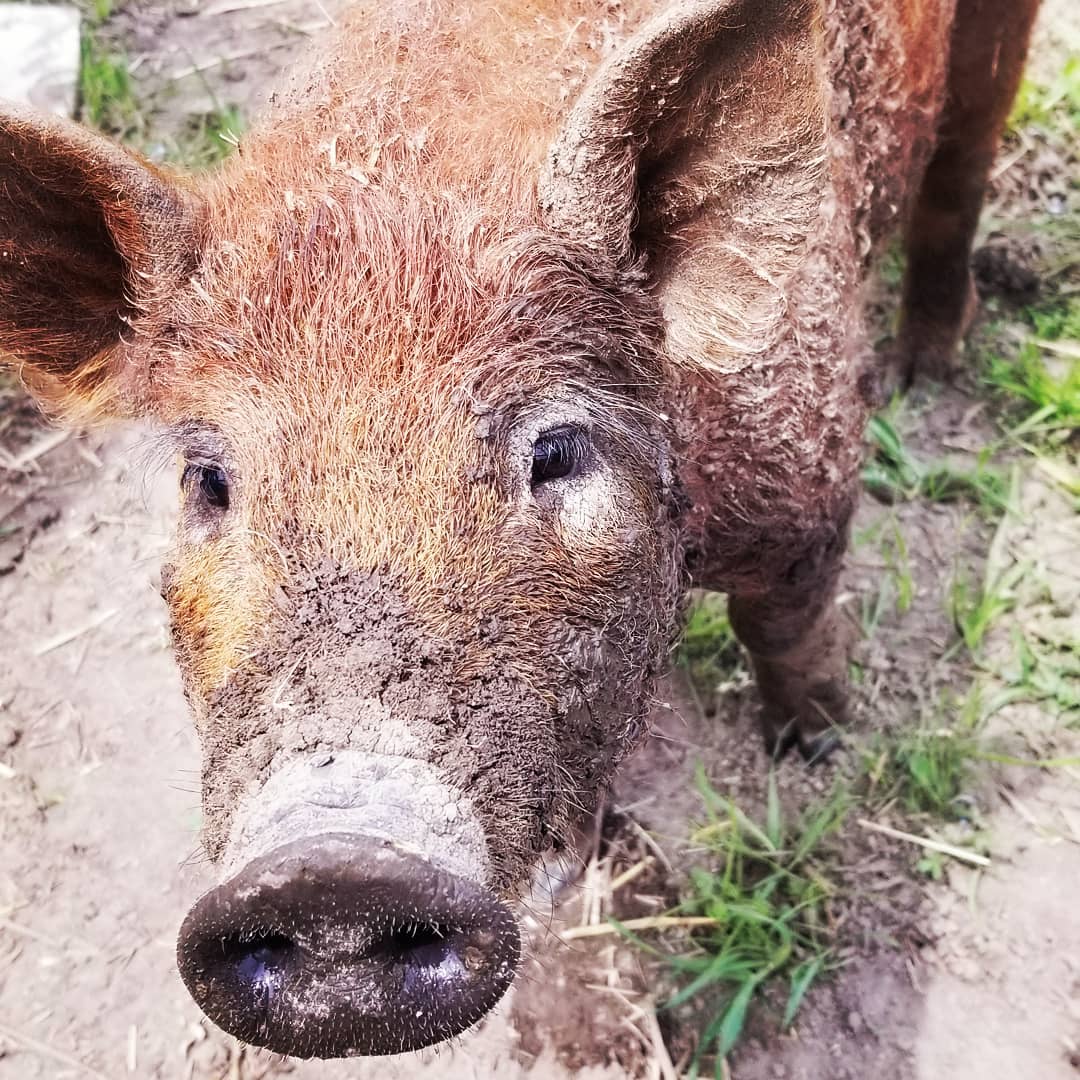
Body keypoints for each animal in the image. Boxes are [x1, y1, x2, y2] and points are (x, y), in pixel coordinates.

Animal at [0, 0, 1039, 1060]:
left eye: (557, 451)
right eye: (207, 481)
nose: (333, 868)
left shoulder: (811, 474)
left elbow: (783, 623)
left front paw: (814, 745)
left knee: (964, 168)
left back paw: (923, 371)